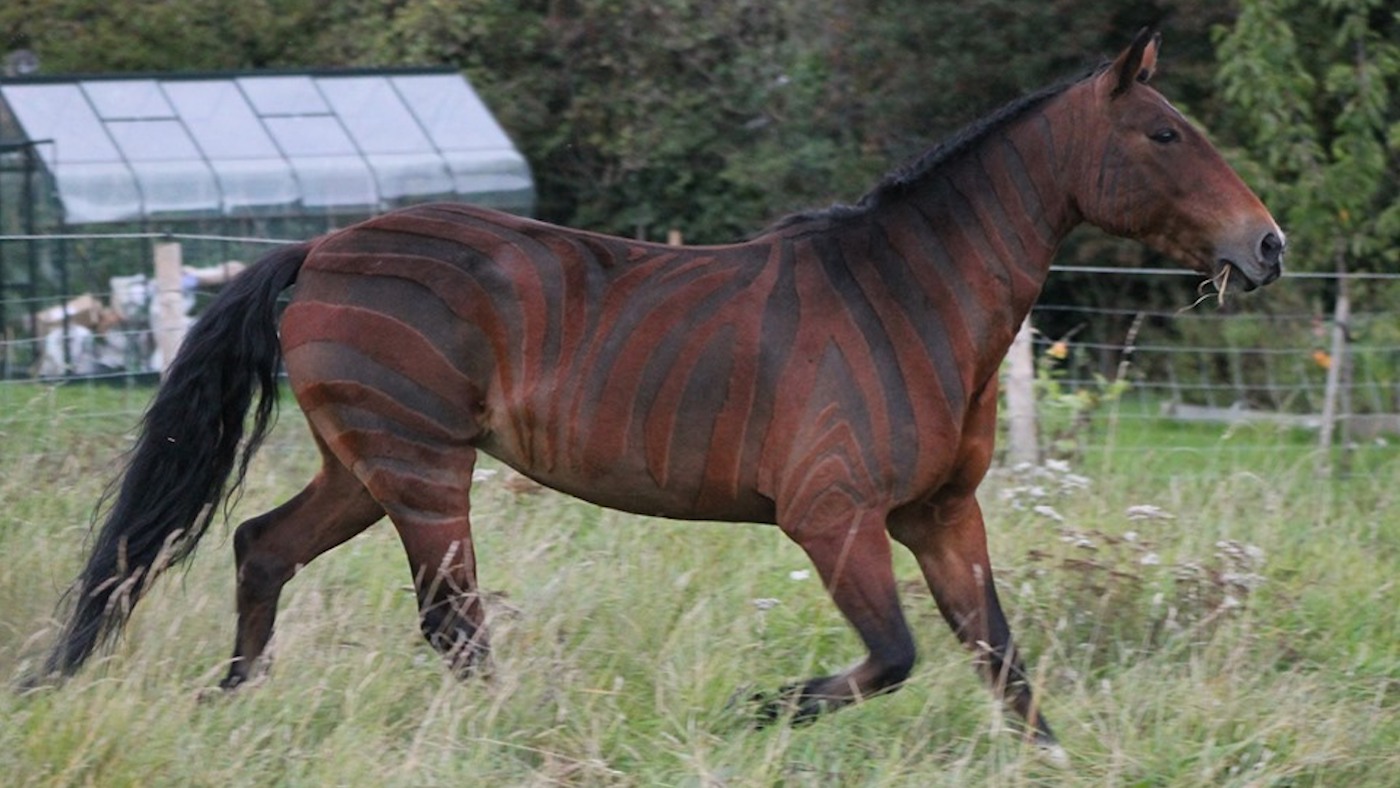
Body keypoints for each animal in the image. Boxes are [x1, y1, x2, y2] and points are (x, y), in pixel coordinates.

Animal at [40, 29, 1281, 758]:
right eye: (1163, 133)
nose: (1263, 246)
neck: (907, 300)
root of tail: (321, 250)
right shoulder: (831, 518)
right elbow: (891, 656)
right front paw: (754, 712)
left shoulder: (941, 516)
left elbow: (1001, 661)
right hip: (423, 471)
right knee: (450, 623)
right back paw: (512, 737)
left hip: (365, 468)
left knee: (262, 546)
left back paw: (227, 701)